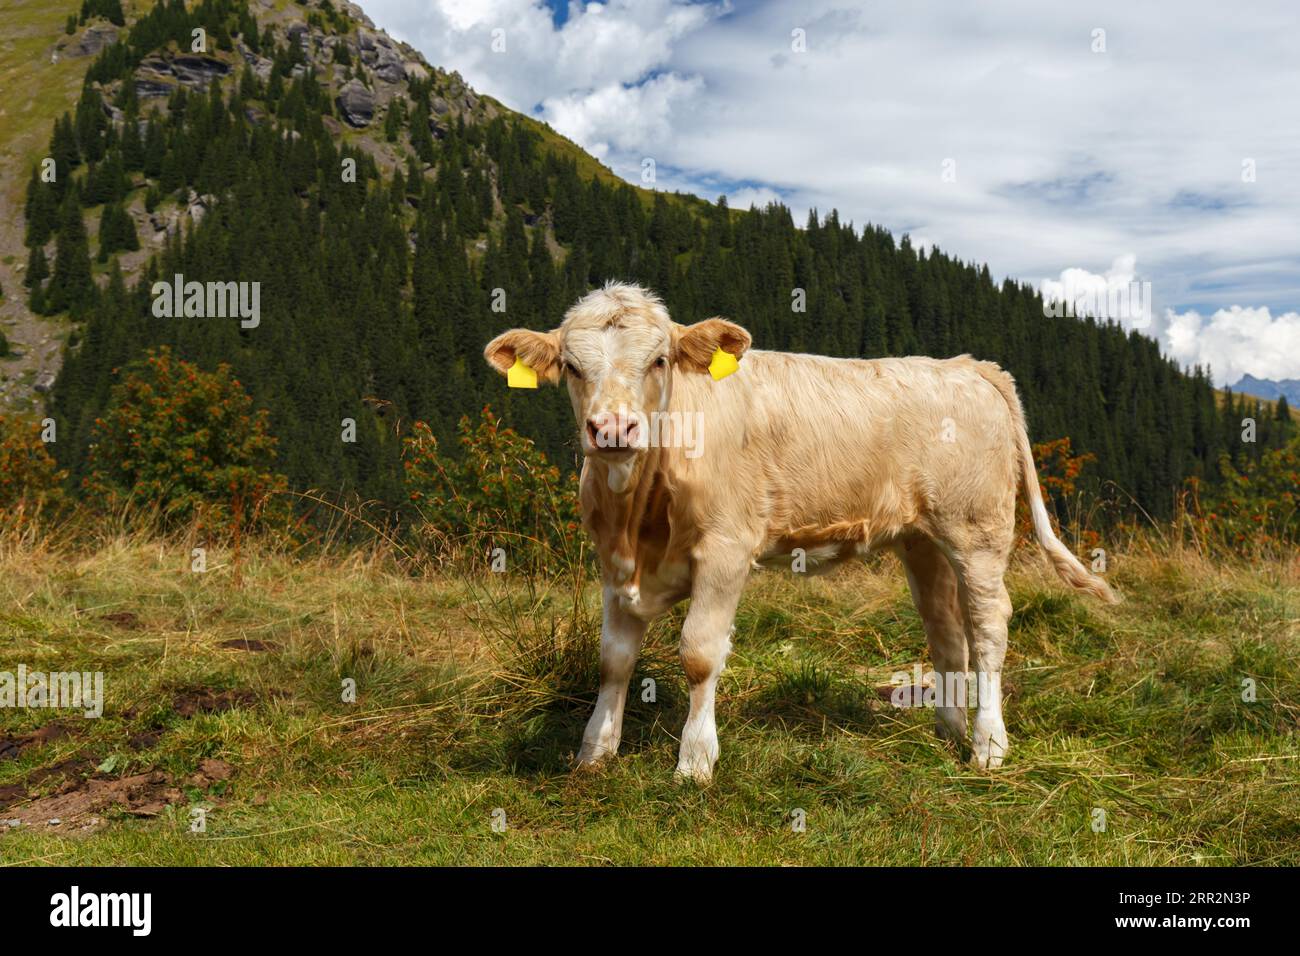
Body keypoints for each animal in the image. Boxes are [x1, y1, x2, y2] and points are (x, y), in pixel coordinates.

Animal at [484, 282, 1118, 782]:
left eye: (659, 360)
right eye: (572, 366)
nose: (613, 429)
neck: (640, 518)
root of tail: (966, 365)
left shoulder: (726, 550)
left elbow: (699, 653)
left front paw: (695, 762)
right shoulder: (613, 564)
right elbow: (613, 659)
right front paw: (595, 752)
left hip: (977, 530)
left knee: (988, 629)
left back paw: (987, 745)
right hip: (923, 540)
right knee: (946, 630)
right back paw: (950, 729)